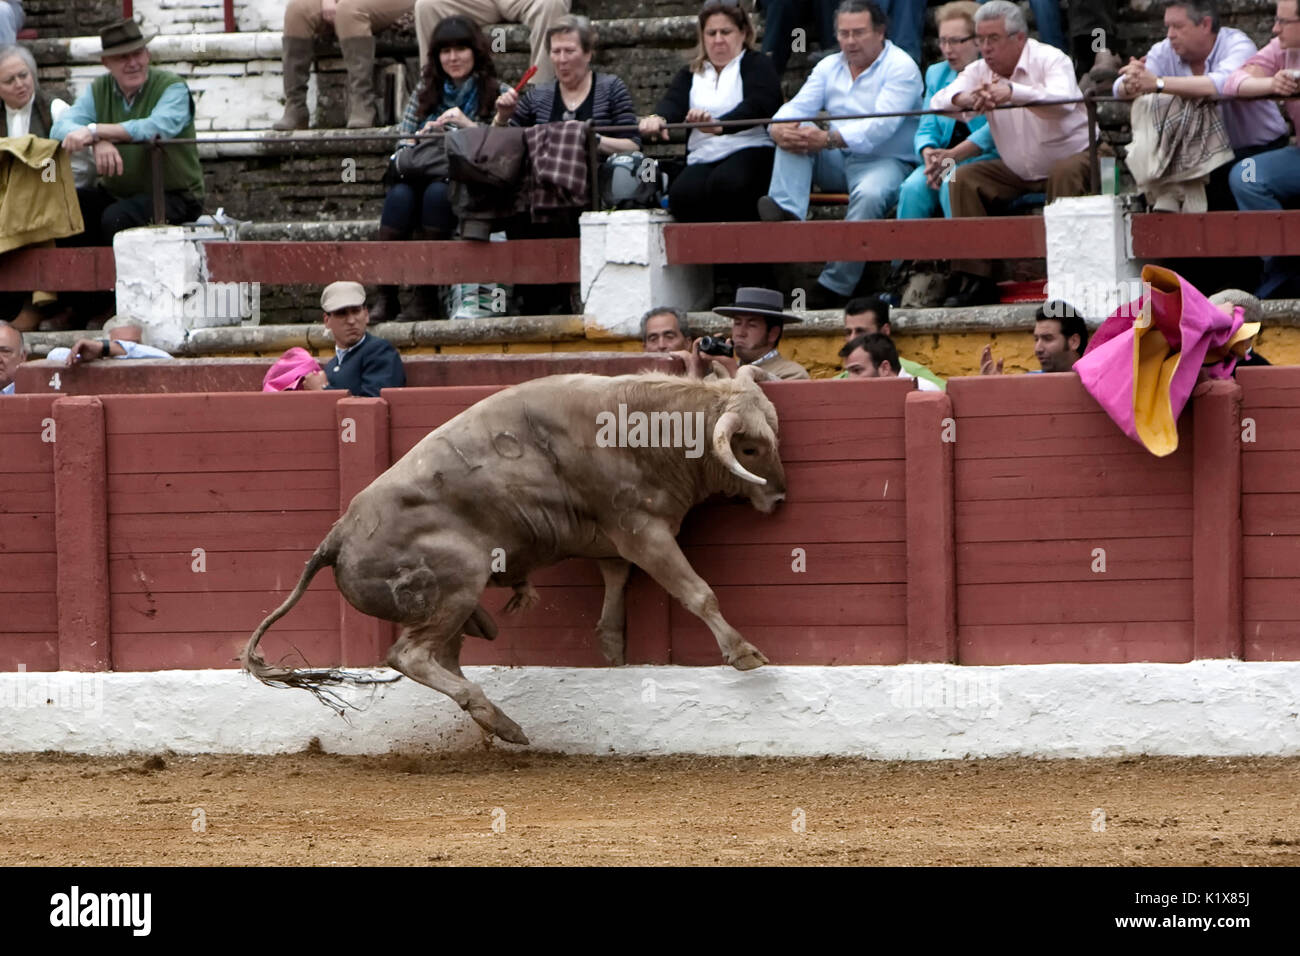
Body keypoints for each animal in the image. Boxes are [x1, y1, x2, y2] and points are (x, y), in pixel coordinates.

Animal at [240, 366, 787, 745]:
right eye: (751, 448)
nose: (780, 497)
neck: (641, 431)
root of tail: (336, 536)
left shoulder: (616, 539)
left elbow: (614, 591)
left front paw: (613, 650)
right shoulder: (642, 531)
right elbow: (697, 593)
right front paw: (744, 653)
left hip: (451, 605)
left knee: (444, 657)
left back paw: (491, 720)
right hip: (458, 582)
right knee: (409, 655)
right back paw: (499, 721)